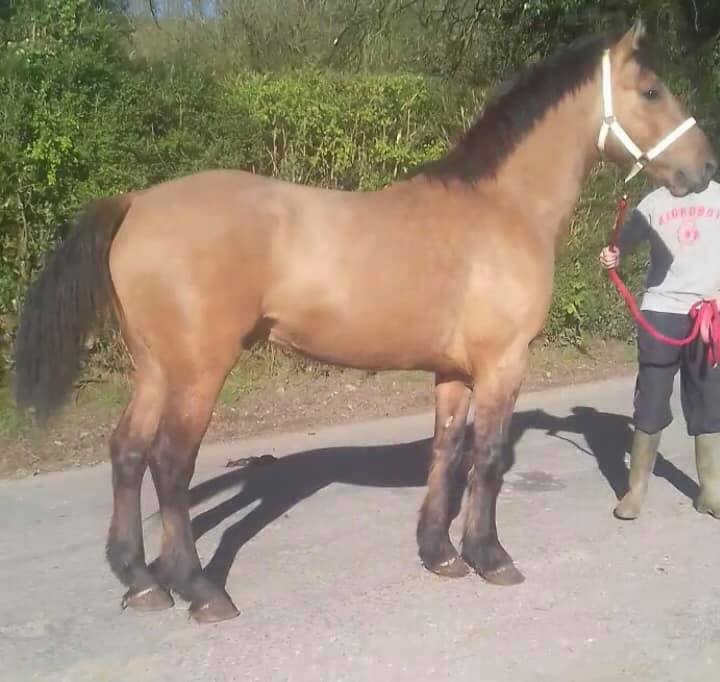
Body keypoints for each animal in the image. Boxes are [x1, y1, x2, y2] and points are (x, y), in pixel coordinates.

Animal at [13, 20, 717, 624]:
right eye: (651, 90)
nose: (705, 167)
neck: (502, 207)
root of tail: (137, 203)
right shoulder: (504, 362)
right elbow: (488, 458)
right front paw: (490, 556)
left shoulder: (453, 372)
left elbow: (448, 452)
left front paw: (440, 553)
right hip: (198, 370)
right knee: (168, 464)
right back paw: (200, 589)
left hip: (156, 367)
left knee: (127, 453)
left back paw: (140, 579)